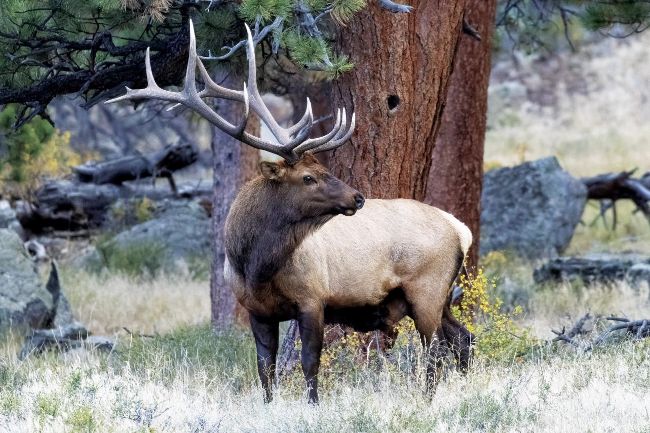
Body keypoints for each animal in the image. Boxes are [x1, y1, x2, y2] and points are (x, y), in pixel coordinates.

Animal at [108, 20, 474, 404]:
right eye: (308, 177)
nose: (358, 197)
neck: (255, 266)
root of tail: (460, 230)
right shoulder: (257, 310)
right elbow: (264, 367)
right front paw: (269, 405)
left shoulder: (312, 300)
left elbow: (309, 362)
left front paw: (313, 405)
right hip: (440, 298)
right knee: (463, 339)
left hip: (427, 289)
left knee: (435, 351)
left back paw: (428, 400)